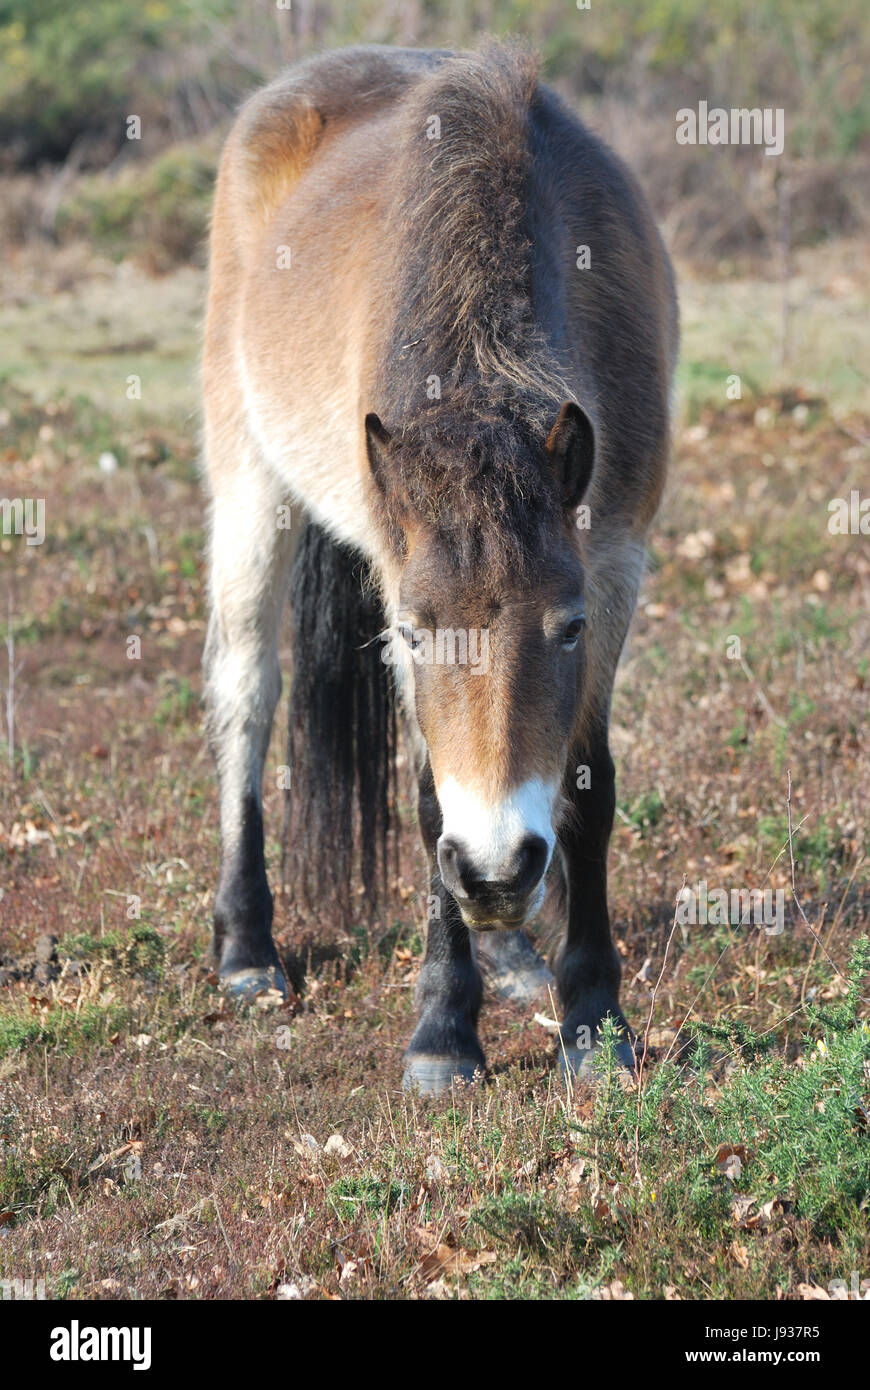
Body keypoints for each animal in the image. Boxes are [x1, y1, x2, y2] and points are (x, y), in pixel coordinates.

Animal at [201, 40, 678, 1093]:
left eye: (569, 627)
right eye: (418, 631)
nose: (497, 873)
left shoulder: (616, 561)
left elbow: (587, 791)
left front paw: (594, 1022)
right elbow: (426, 801)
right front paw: (443, 1035)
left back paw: (511, 955)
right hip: (250, 486)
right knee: (247, 696)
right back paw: (248, 950)